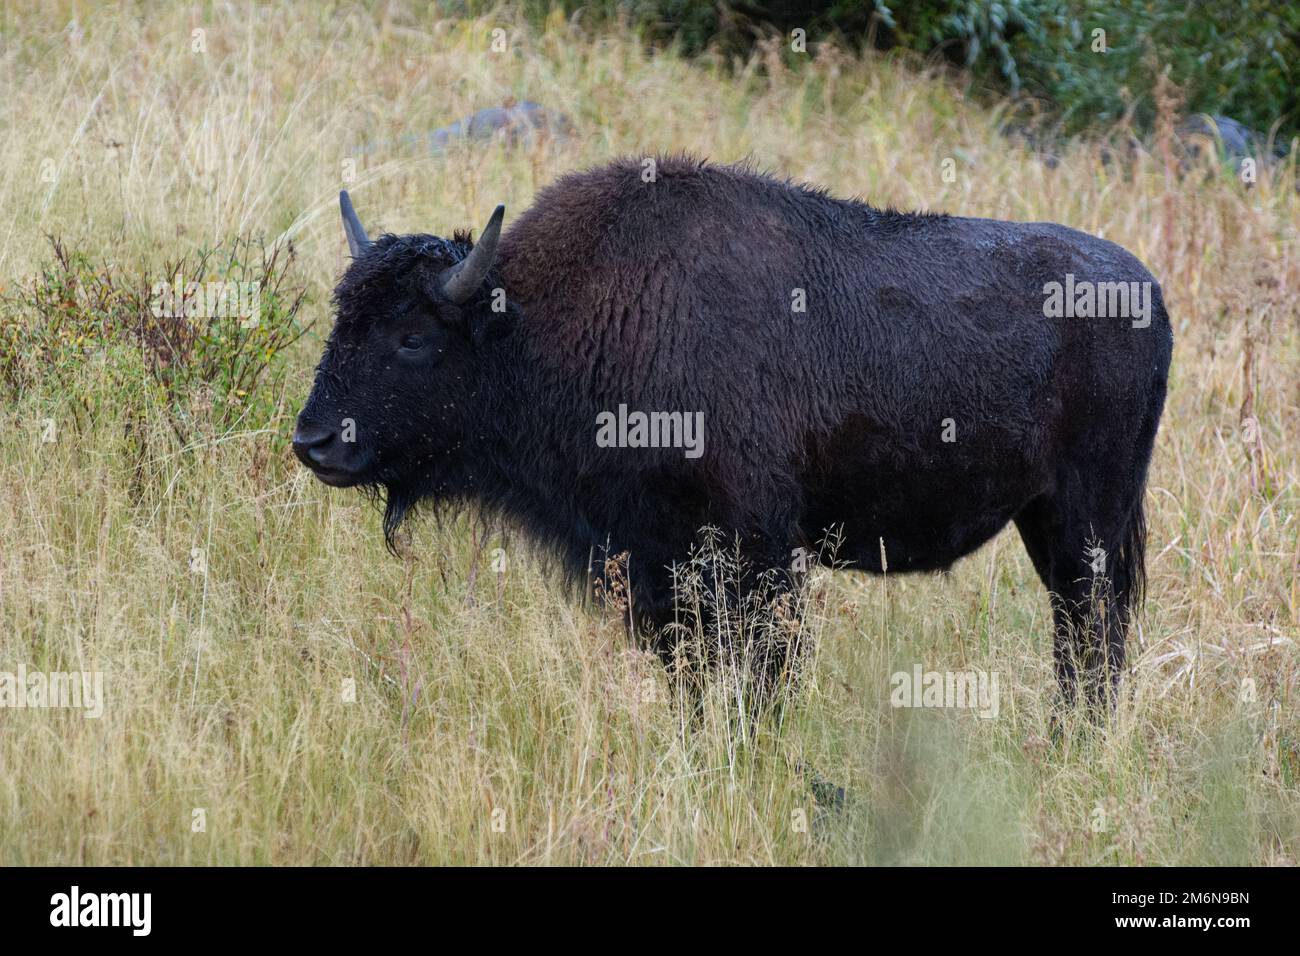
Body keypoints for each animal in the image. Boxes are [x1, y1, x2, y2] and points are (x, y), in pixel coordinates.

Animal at [294, 155, 1172, 712]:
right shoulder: (655, 566)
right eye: (342, 318)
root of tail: (1147, 291)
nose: (314, 443)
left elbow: (760, 674)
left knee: (1090, 637)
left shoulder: (754, 555)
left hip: (1087, 523)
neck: (541, 323)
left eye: (412, 337)